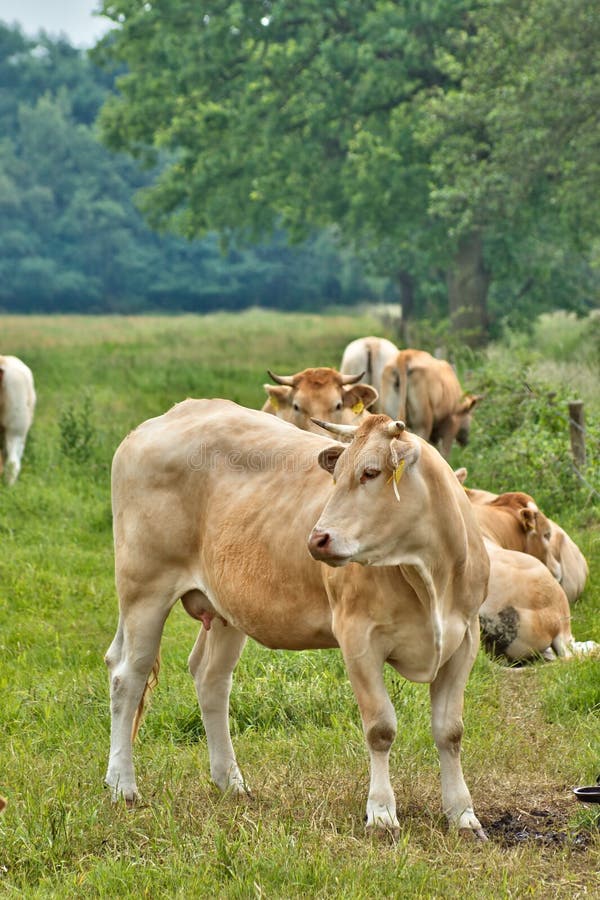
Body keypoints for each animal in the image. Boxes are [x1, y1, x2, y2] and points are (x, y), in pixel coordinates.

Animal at [105, 403, 490, 839]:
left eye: (371, 472)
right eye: (336, 477)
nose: (317, 539)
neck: (428, 575)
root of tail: (168, 416)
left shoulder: (465, 639)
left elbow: (450, 731)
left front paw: (462, 814)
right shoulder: (358, 638)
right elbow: (380, 728)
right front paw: (381, 812)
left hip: (226, 608)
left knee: (210, 679)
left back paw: (230, 782)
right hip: (143, 589)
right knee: (127, 676)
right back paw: (122, 785)